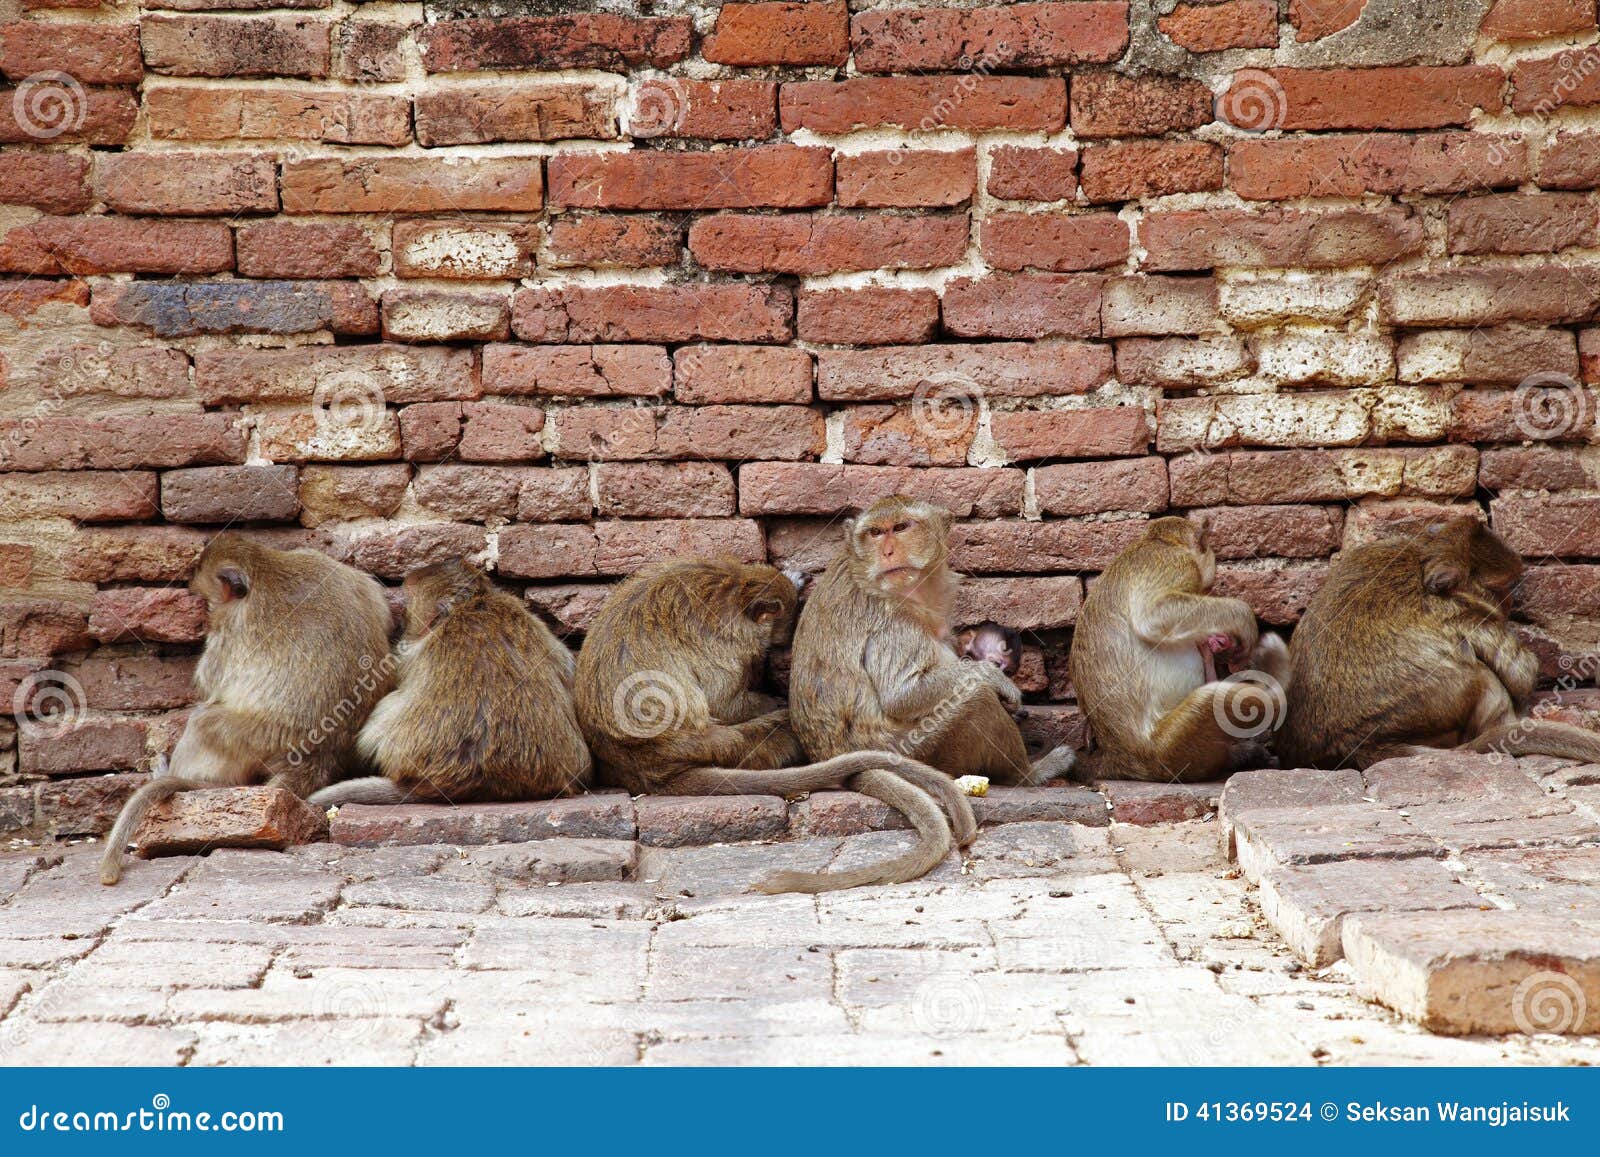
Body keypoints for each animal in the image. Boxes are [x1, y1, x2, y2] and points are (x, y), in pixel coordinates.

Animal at [100, 534, 393, 885]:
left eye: (207, 601)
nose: (203, 616)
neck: (264, 567)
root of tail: (317, 758)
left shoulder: (228, 630)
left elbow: (209, 683)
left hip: (253, 740)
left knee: (203, 722)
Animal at [573, 558, 977, 895]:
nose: (774, 656)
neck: (734, 587)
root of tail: (643, 769)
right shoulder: (727, 644)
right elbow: (722, 701)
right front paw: (771, 699)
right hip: (726, 746)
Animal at [783, 494, 1077, 891]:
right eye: (875, 533)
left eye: (901, 527)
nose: (888, 550)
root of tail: (834, 755)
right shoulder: (891, 616)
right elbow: (902, 694)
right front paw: (995, 679)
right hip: (917, 747)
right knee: (974, 701)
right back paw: (1029, 774)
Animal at [1069, 516, 1292, 784]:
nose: (1206, 594)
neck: (1161, 541)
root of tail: (1120, 762)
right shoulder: (1176, 564)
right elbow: (1154, 613)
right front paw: (1244, 620)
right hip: (1167, 751)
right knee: (1216, 699)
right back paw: (1276, 676)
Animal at [1278, 515, 1600, 769]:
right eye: (1503, 588)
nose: (1509, 604)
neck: (1422, 561)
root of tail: (1357, 746)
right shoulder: (1467, 615)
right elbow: (1520, 672)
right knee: (1482, 676)